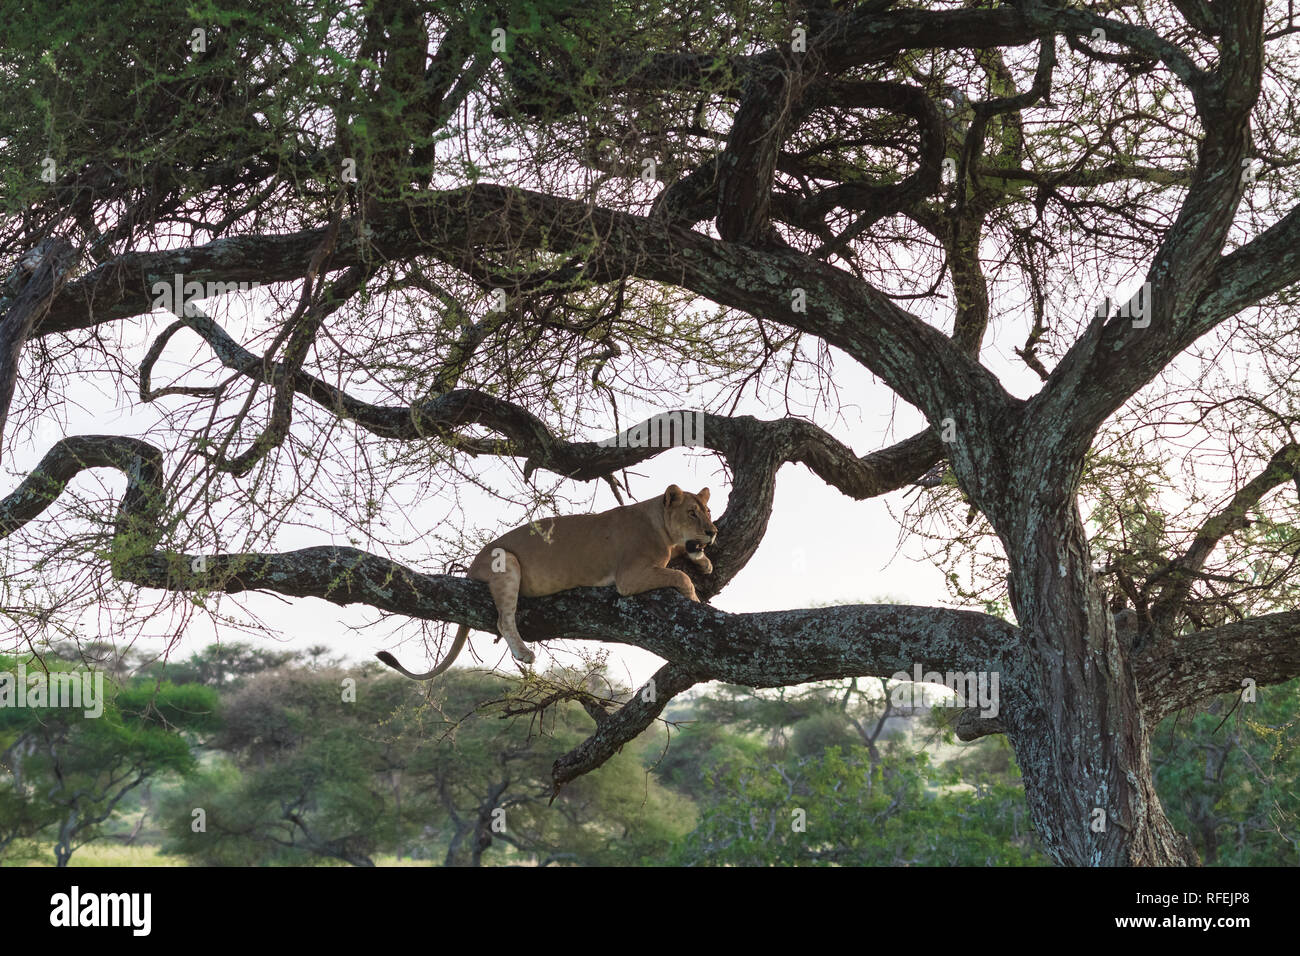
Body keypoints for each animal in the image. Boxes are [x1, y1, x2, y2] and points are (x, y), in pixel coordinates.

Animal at [377, 484, 717, 679]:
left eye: (708, 511)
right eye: (691, 513)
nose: (712, 532)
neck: (661, 525)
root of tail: (472, 564)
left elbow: (686, 559)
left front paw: (704, 560)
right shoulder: (629, 576)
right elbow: (678, 574)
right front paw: (694, 597)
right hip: (506, 561)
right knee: (503, 619)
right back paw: (523, 653)